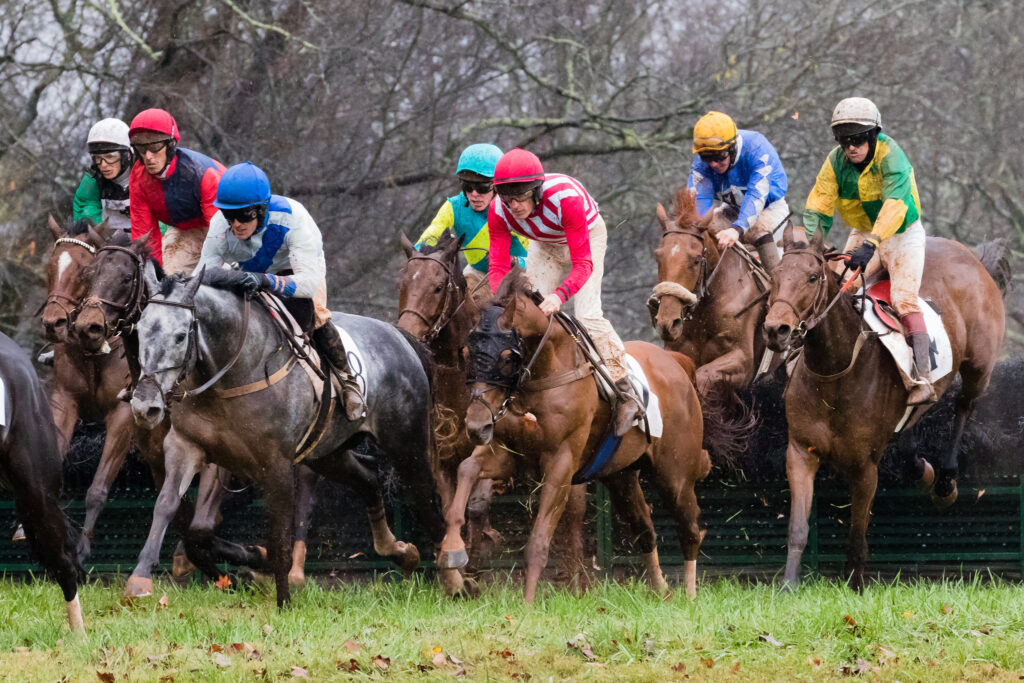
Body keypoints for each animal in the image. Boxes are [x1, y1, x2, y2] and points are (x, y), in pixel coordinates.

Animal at [72, 232, 320, 591]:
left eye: (126, 278)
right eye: (89, 274)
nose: (87, 327)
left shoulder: (218, 456)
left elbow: (201, 524)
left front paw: (249, 556)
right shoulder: (160, 454)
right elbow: (178, 514)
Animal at [128, 263, 443, 606]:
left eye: (181, 335)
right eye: (139, 331)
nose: (145, 405)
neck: (231, 374)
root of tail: (398, 336)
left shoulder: (276, 465)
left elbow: (278, 535)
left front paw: (283, 601)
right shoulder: (188, 446)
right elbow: (173, 510)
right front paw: (141, 577)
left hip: (408, 445)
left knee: (428, 501)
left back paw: (454, 574)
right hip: (327, 454)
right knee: (369, 481)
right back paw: (401, 551)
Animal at [397, 233, 587, 592]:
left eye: (438, 287)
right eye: (402, 283)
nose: (407, 334)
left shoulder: (490, 441)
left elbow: (477, 505)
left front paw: (475, 563)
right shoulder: (442, 455)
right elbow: (449, 507)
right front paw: (455, 572)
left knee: (573, 512)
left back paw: (576, 576)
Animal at [440, 268, 710, 602]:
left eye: (508, 357)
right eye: (466, 352)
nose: (476, 425)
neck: (546, 374)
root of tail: (677, 364)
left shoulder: (561, 465)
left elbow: (539, 539)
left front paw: (527, 604)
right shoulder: (510, 453)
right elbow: (465, 472)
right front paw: (452, 564)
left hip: (675, 474)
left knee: (690, 530)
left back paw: (690, 595)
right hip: (621, 476)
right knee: (645, 529)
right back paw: (661, 590)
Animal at [762, 225, 1008, 590]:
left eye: (811, 277)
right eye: (775, 276)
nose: (775, 329)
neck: (836, 370)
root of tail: (970, 256)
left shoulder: (865, 467)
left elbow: (857, 532)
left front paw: (855, 586)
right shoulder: (801, 451)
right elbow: (797, 526)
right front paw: (788, 585)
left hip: (979, 365)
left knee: (964, 405)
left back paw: (944, 482)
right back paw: (920, 467)